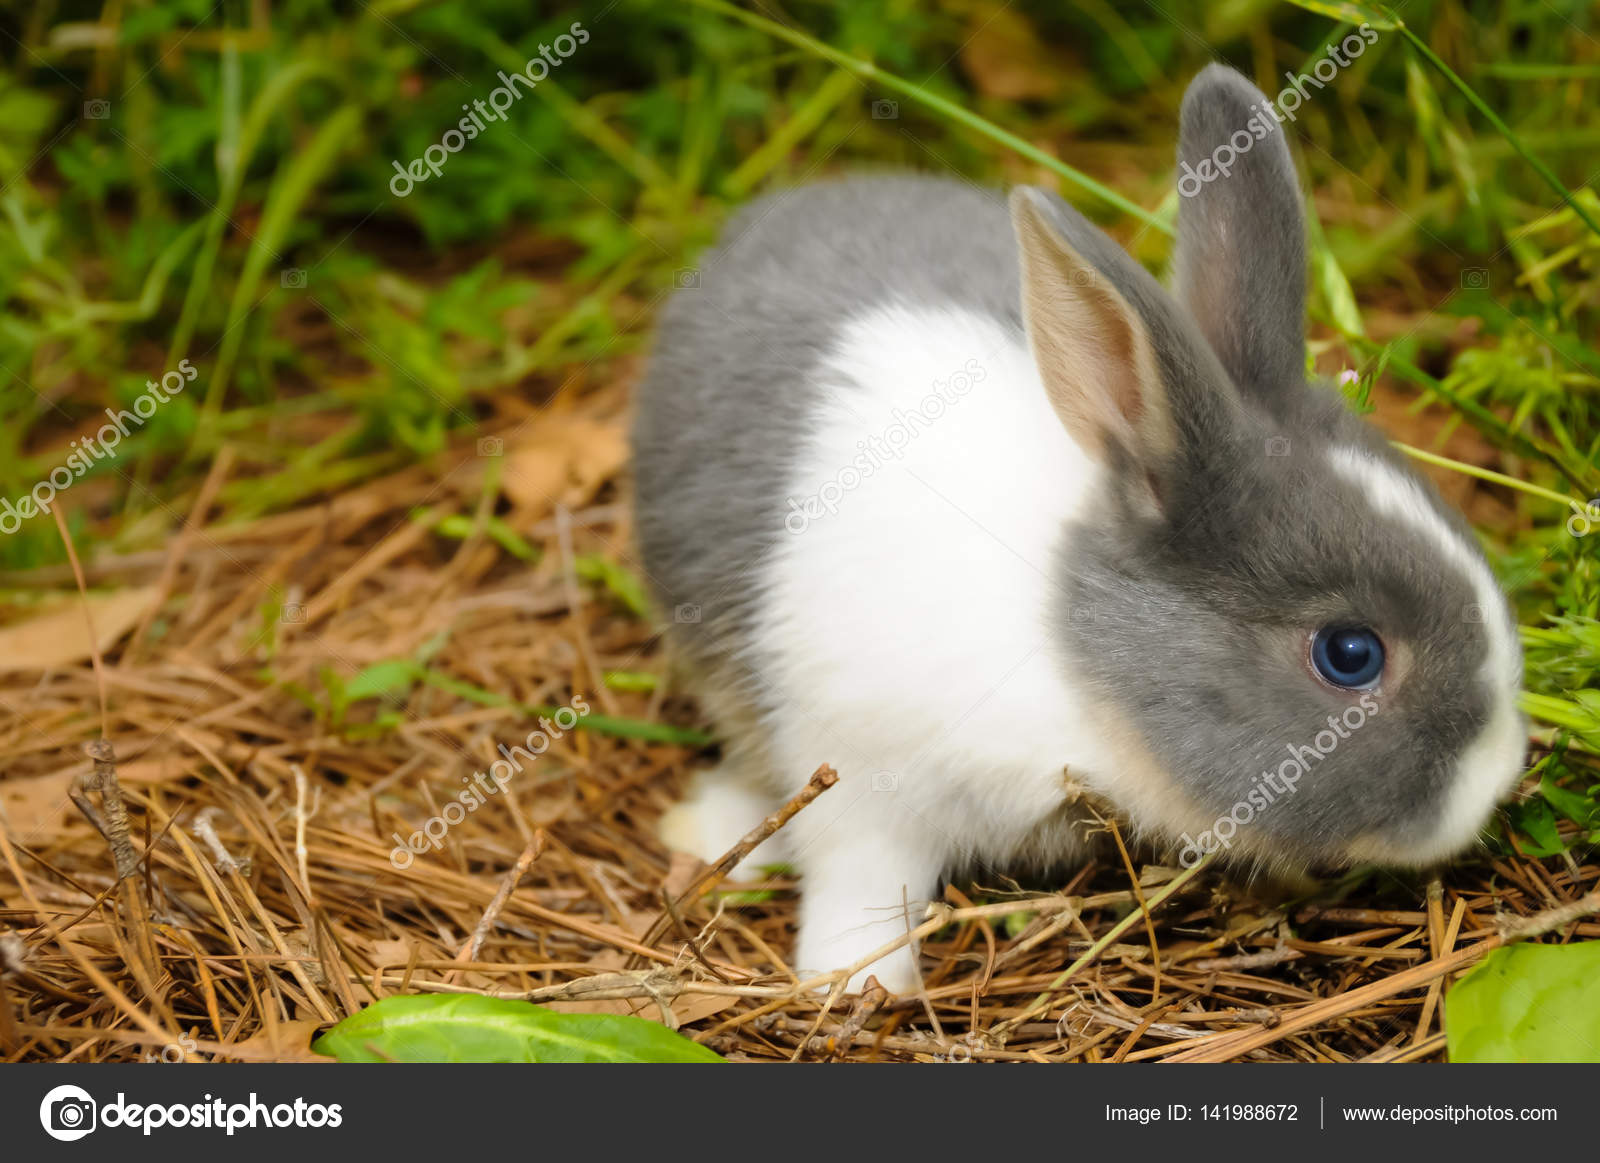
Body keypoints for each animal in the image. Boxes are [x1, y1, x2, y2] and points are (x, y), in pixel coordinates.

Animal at [631, 64, 1527, 995]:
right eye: (1350, 654)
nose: (1497, 776)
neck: (1070, 657)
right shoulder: (860, 781)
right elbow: (862, 892)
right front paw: (855, 985)